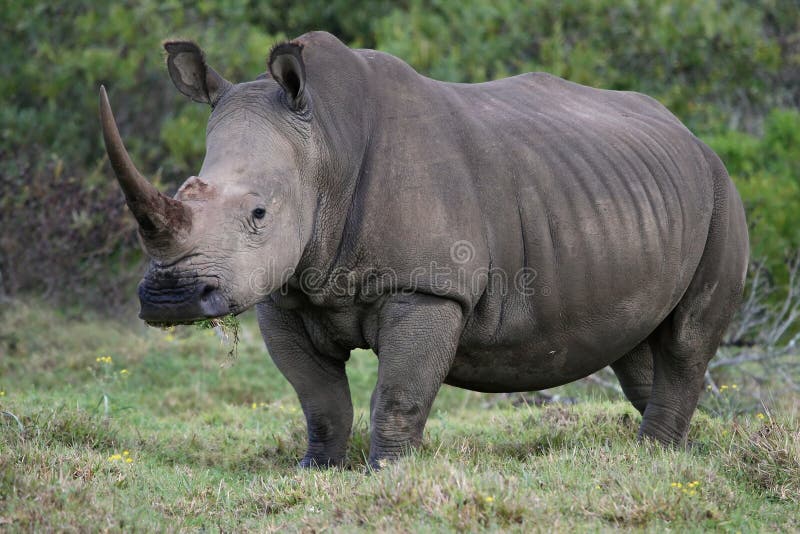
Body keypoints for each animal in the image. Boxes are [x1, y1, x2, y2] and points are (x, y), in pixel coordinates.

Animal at [99, 31, 749, 468]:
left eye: (259, 213)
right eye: (186, 188)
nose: (171, 299)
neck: (325, 142)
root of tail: (691, 134)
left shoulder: (428, 288)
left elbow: (399, 394)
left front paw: (388, 472)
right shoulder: (283, 291)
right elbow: (319, 399)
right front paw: (316, 471)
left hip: (722, 191)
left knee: (686, 340)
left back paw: (656, 458)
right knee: (638, 345)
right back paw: (665, 453)